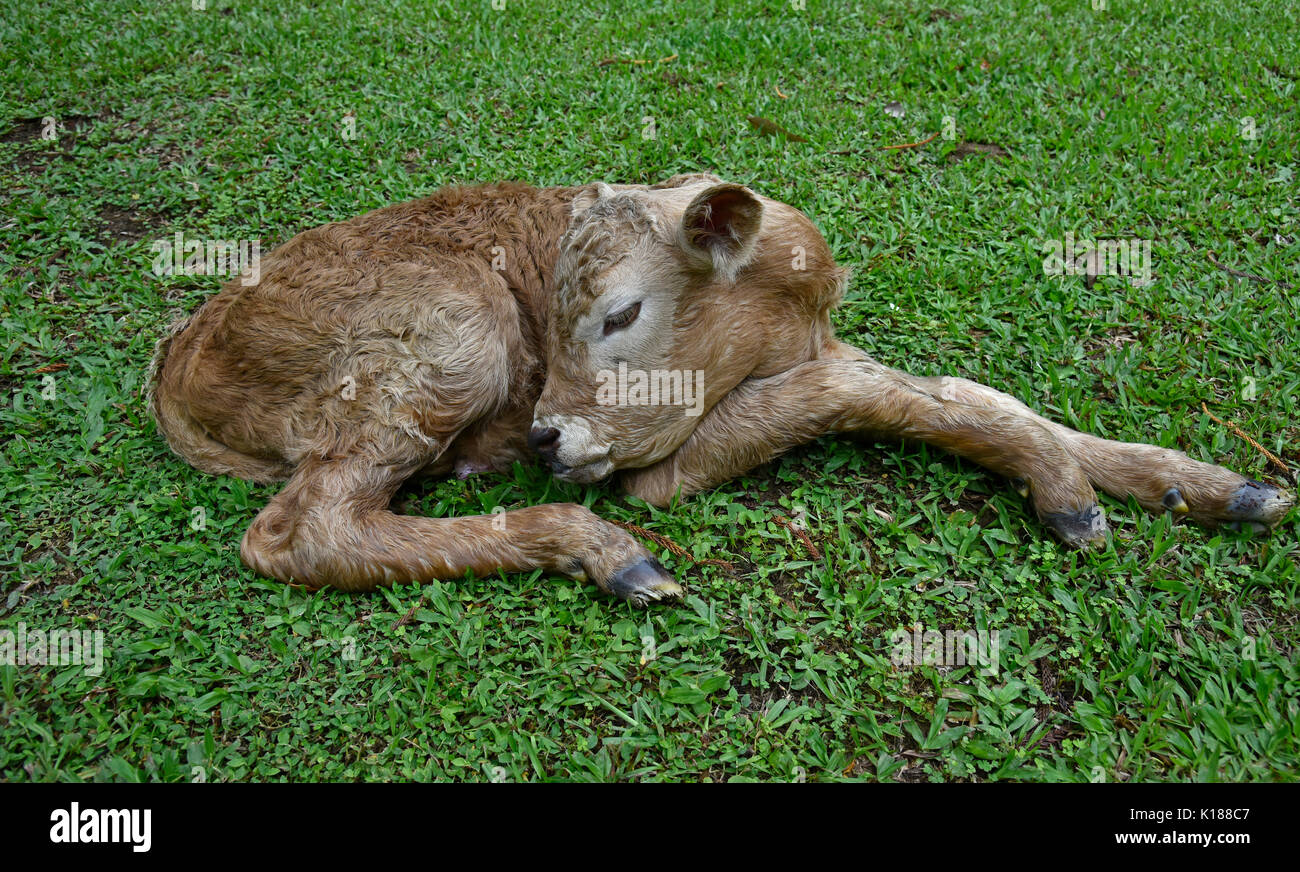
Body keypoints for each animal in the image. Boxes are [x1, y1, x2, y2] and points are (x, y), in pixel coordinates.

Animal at [147, 173, 1293, 605]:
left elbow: (971, 392)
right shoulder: (658, 460)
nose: (547, 438)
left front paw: (1207, 484)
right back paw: (601, 551)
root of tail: (181, 356)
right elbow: (878, 390)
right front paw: (1063, 490)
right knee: (303, 529)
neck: (787, 322)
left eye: (620, 314)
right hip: (444, 336)